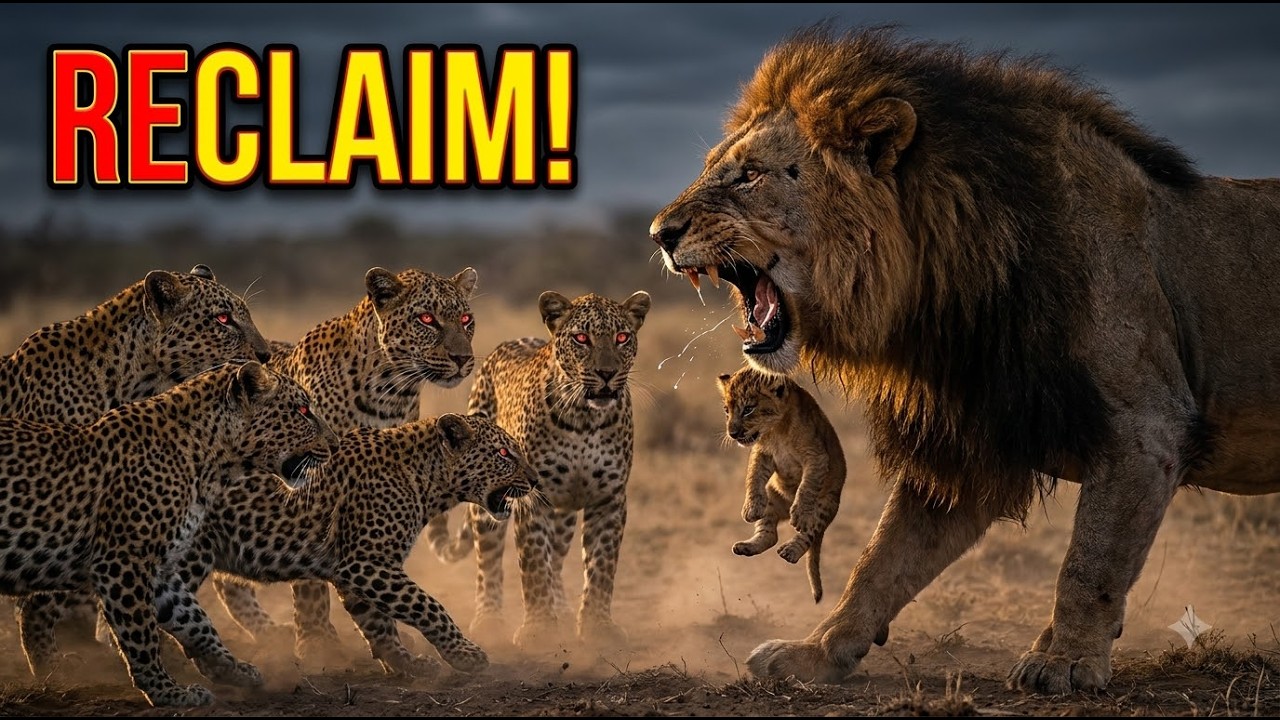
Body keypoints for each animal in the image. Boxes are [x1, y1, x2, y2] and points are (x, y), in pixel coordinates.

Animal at [649, 26, 1280, 694]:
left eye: (749, 175)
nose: (659, 233)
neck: (949, 280)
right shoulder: (964, 439)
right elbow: (882, 560)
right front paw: (817, 652)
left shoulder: (1146, 427)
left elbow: (1090, 563)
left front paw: (1065, 661)